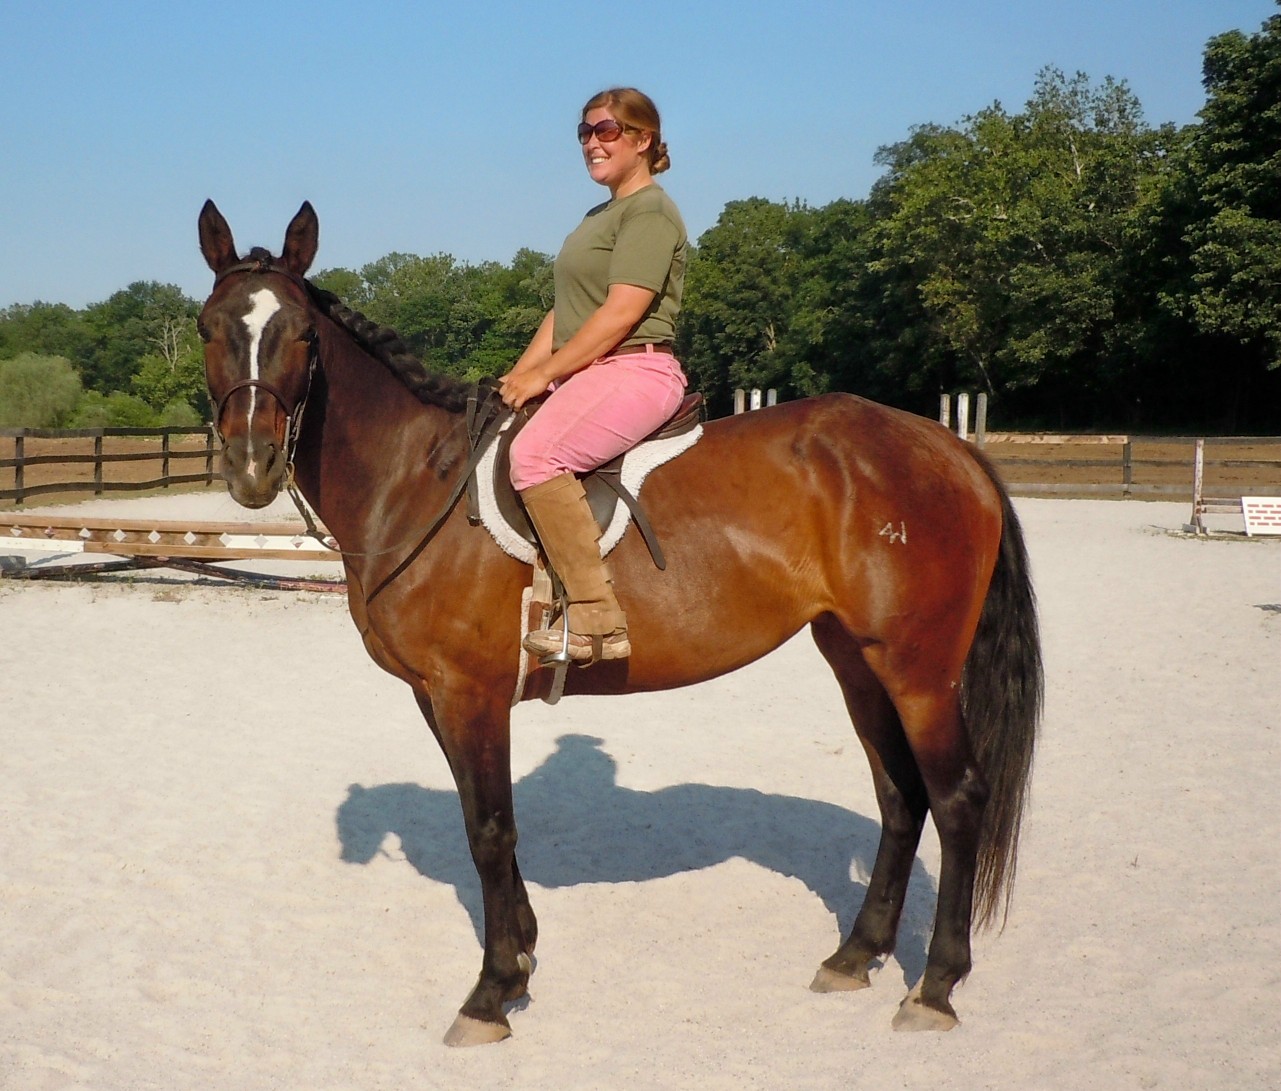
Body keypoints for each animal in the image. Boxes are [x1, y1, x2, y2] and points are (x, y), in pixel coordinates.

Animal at [196, 200, 1042, 1047]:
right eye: (208, 328)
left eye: (302, 336)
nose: (251, 464)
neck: (417, 479)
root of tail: (948, 447)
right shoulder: (433, 694)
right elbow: (487, 820)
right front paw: (522, 958)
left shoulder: (469, 692)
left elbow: (489, 828)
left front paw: (490, 991)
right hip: (857, 660)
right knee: (900, 795)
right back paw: (855, 954)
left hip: (918, 671)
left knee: (957, 798)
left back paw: (934, 985)